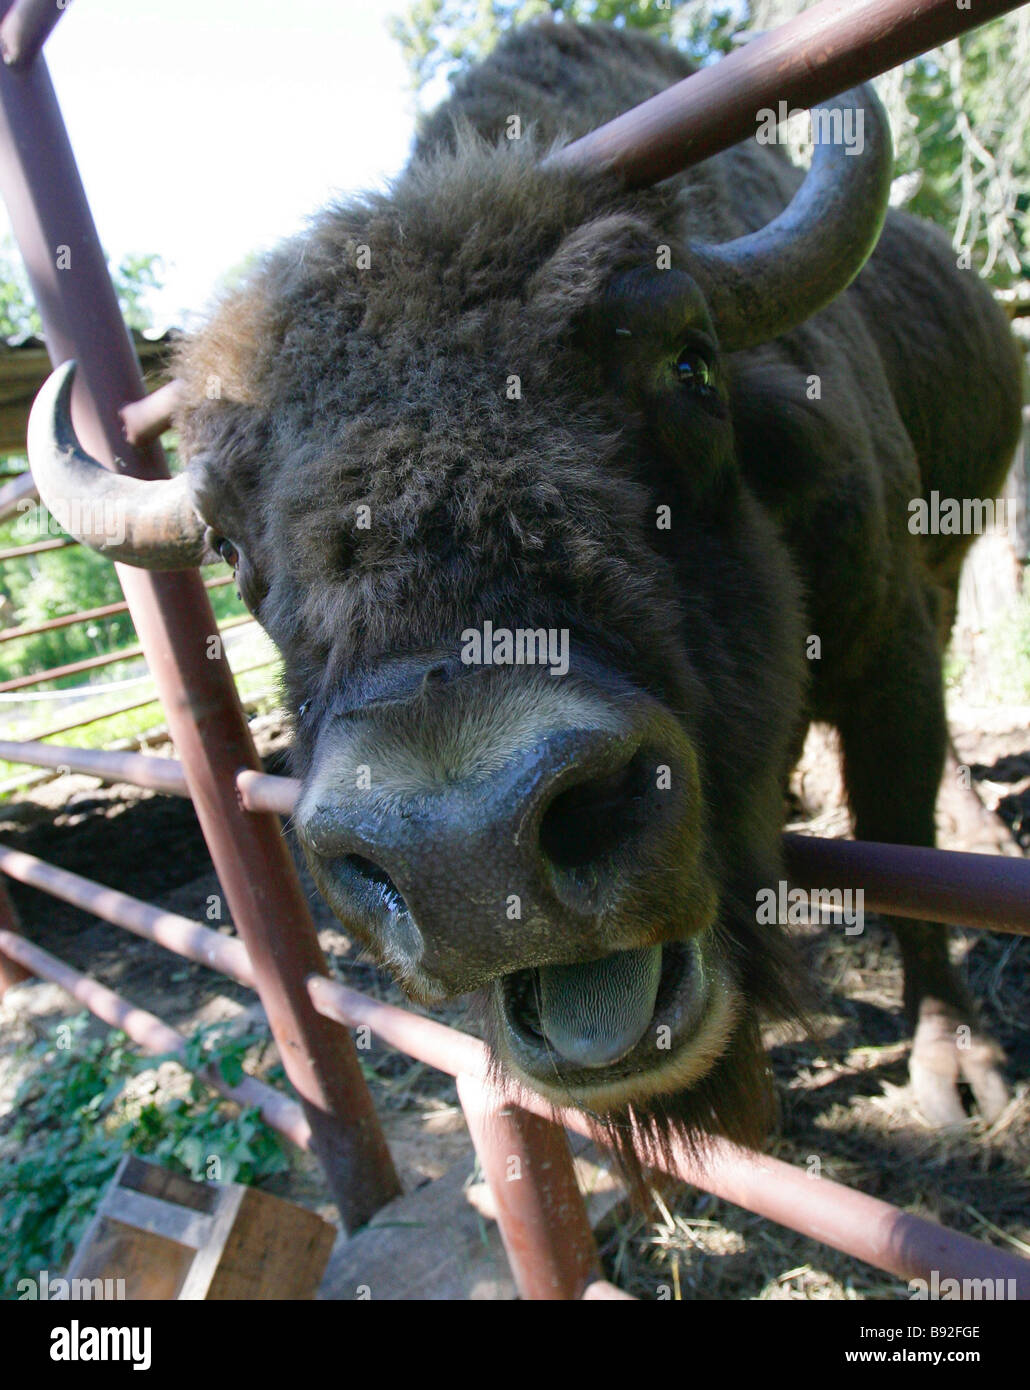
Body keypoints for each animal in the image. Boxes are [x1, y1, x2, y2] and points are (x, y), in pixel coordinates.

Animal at [30, 22, 1022, 1168]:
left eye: (691, 368)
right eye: (230, 543)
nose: (463, 857)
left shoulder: (887, 644)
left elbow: (903, 833)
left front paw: (959, 1074)